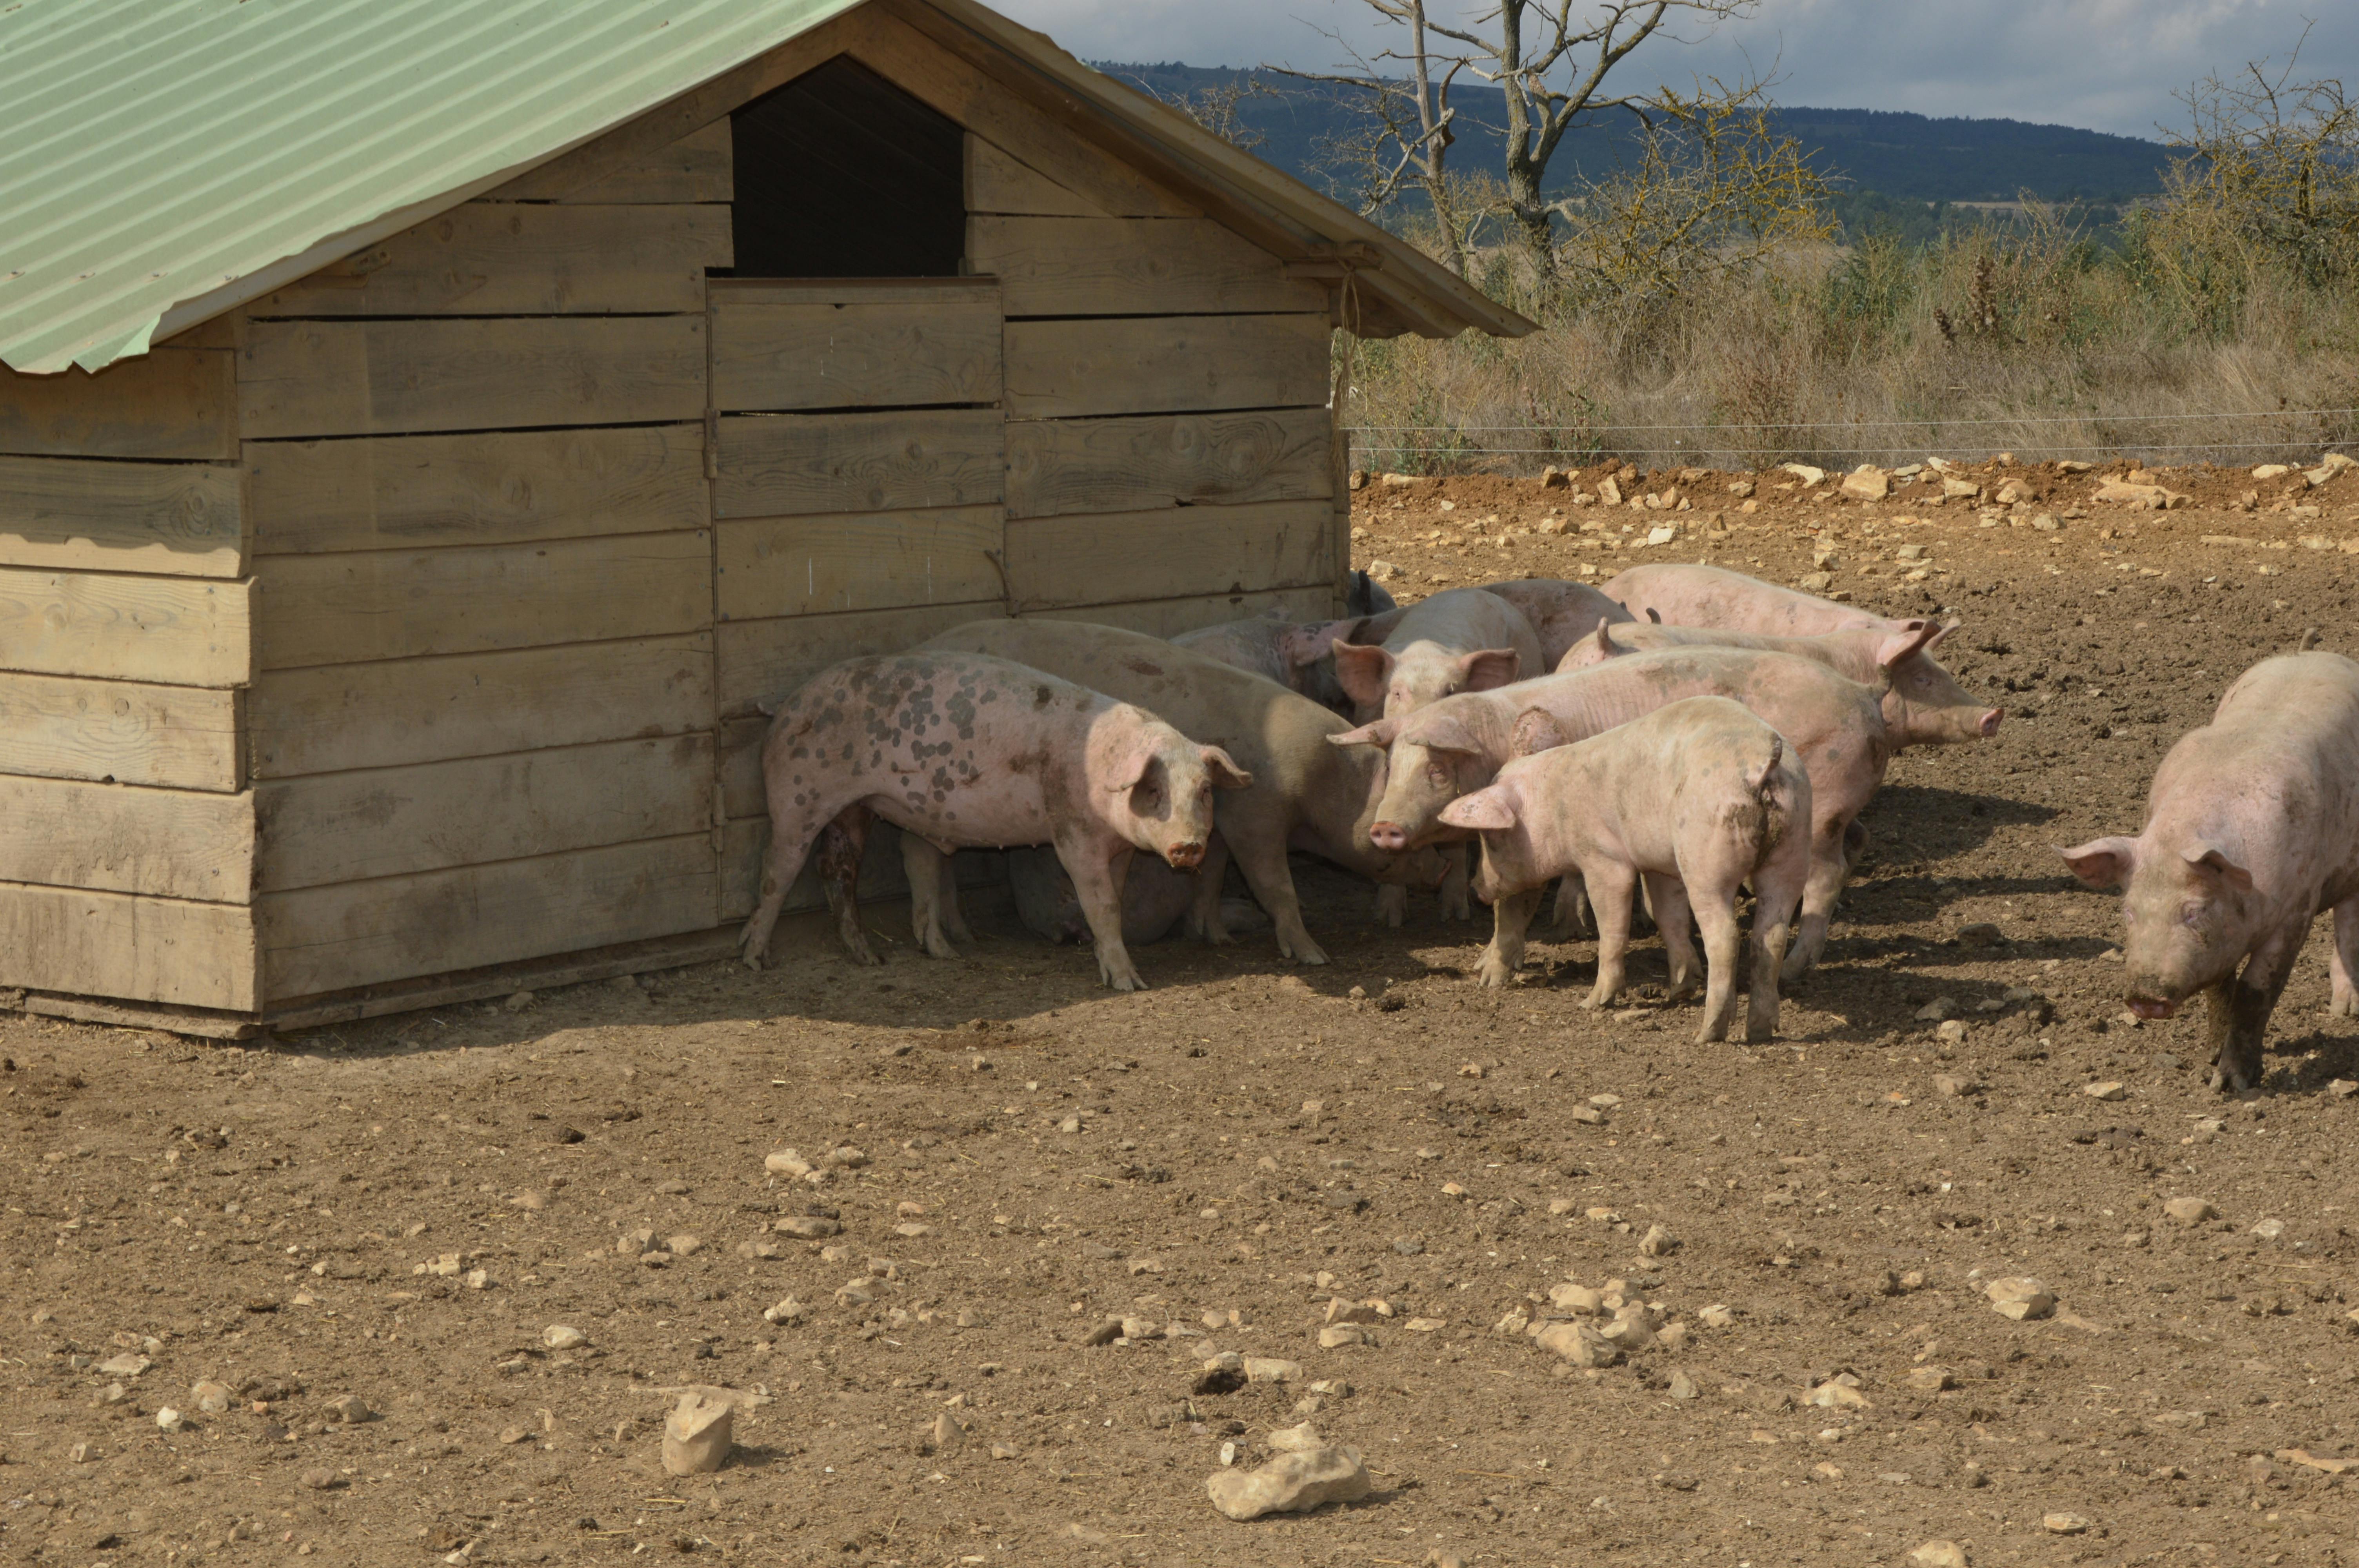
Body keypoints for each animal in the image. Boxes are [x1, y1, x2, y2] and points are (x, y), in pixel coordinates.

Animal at [736, 652, 1251, 992]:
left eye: (1204, 791)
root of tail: (786, 705)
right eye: (1155, 791)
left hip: (857, 808)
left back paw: (885, 958)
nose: (1188, 847)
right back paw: (755, 960)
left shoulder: (1119, 848)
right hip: (796, 798)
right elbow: (1101, 904)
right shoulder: (1072, 834)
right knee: (777, 871)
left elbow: (1116, 901)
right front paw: (1129, 985)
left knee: (843, 868)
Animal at [921, 619, 1447, 964]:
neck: (1323, 784)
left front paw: (1217, 939)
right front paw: (1313, 955)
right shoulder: (1255, 817)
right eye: (1389, 836)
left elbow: (1210, 876)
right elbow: (1276, 886)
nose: (1439, 871)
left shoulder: (1217, 822)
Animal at [1332, 646, 1893, 977]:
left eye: (1436, 770)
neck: (1493, 739)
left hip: (1823, 806)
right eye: (1392, 762)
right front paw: (1481, 968)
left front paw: (1488, 975)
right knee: (1856, 844)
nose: (1384, 828)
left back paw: (1797, 968)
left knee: (1826, 874)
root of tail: (1865, 693)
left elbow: (1517, 899)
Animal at [1440, 697, 1813, 1042]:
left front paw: (1593, 1004)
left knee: (1726, 937)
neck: (1553, 805)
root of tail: (1763, 760)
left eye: (1490, 839)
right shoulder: (1661, 865)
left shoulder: (1603, 858)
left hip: (1706, 859)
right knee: (1771, 937)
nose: (1476, 889)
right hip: (1792, 850)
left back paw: (1707, 1034)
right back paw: (1760, 1031)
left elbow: (1612, 927)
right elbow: (1669, 919)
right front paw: (1679, 992)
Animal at [2060, 652, 2359, 1093]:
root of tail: (2317, 653)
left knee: (2348, 923)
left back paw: (2345, 1013)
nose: (2145, 995)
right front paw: (2211, 1059)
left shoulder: (2297, 909)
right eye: (2128, 911)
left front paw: (2230, 1084)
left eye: (2193, 912)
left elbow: (2256, 992)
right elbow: (2220, 990)